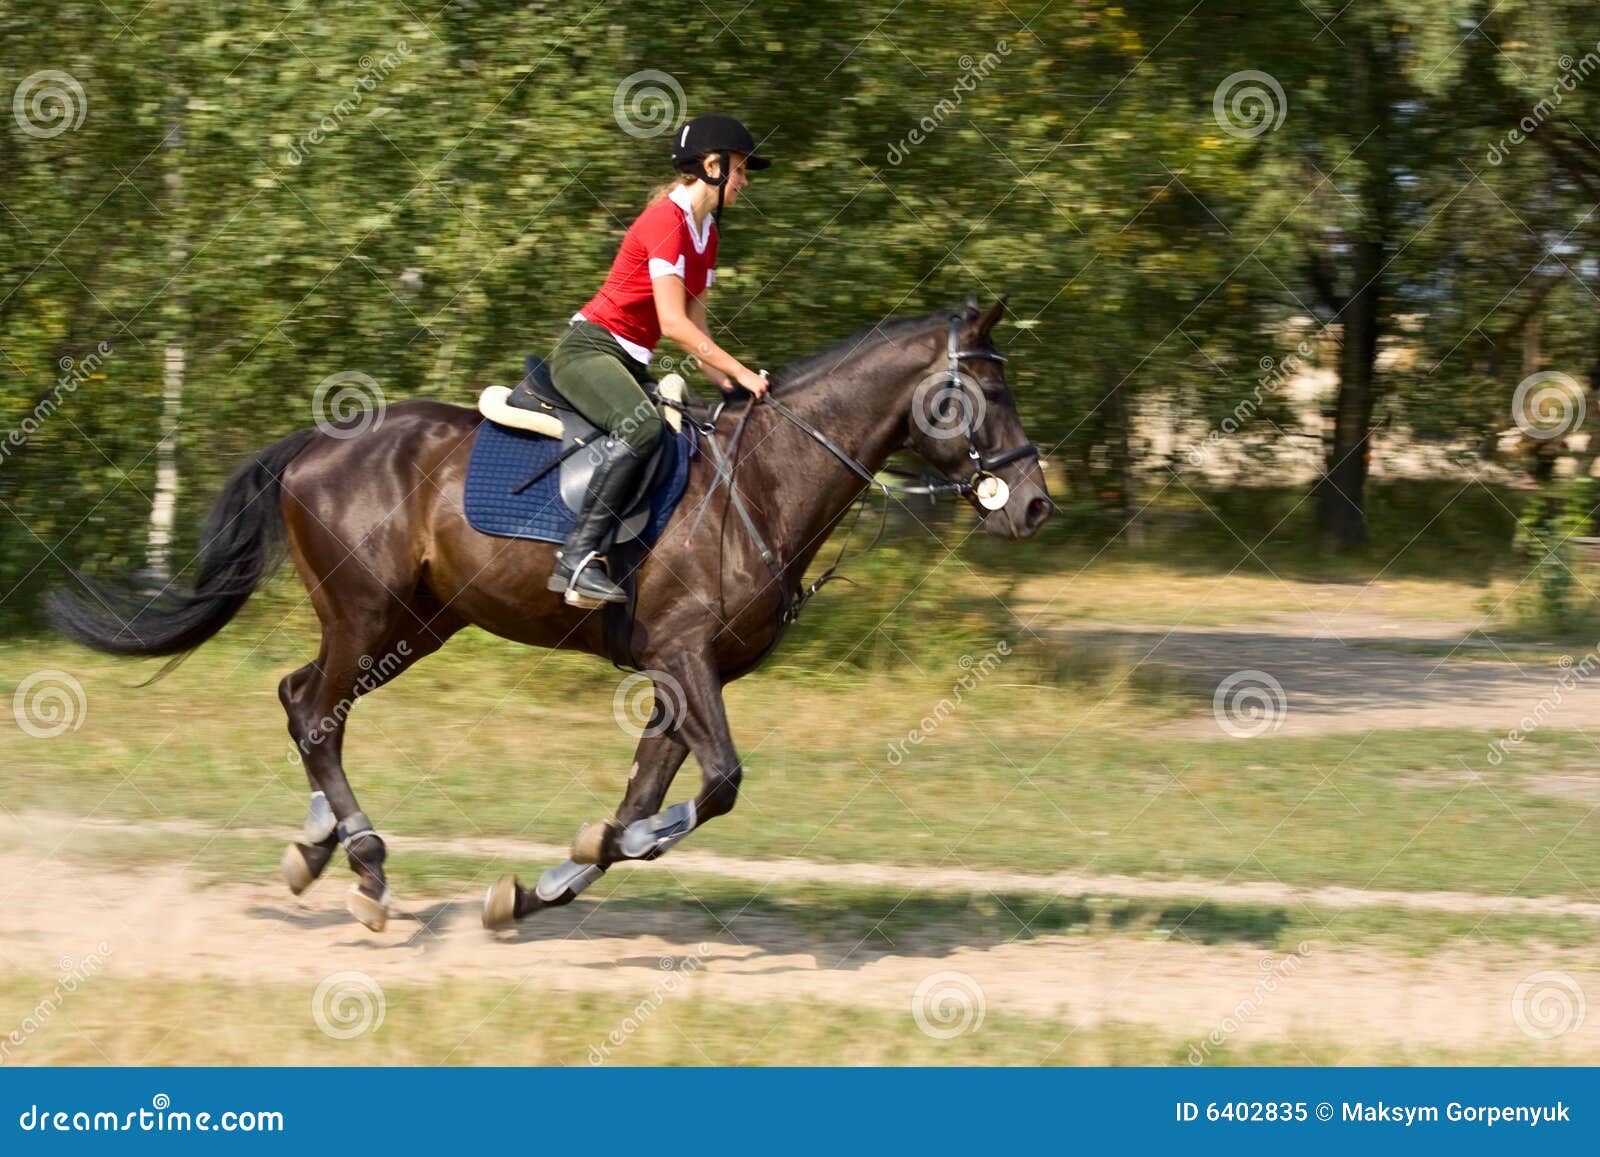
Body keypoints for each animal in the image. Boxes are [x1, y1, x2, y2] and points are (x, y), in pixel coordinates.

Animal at [48, 296, 1053, 932]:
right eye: (985, 393)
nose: (1036, 505)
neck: (763, 483)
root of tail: (312, 445)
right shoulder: (683, 657)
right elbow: (717, 784)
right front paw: (611, 842)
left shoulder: (688, 676)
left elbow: (648, 792)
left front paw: (544, 884)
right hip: (369, 616)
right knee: (313, 711)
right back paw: (365, 861)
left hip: (413, 626)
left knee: (306, 699)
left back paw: (319, 848)